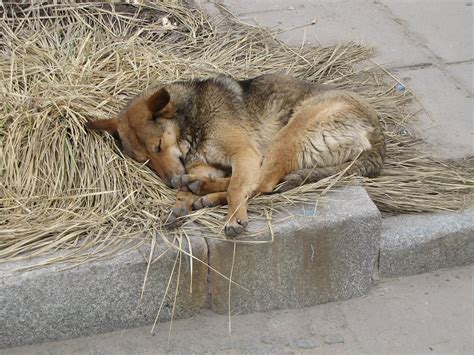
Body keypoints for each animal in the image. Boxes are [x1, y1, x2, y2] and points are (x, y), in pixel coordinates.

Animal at [87, 73, 386, 236]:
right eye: (146, 161)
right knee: (255, 183)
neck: (193, 118)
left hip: (288, 134)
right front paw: (182, 199)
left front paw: (232, 216)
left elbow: (237, 188)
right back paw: (200, 189)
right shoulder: (205, 163)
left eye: (159, 145)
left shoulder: (244, 154)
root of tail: (377, 135)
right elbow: (224, 183)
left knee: (262, 183)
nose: (170, 182)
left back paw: (206, 192)